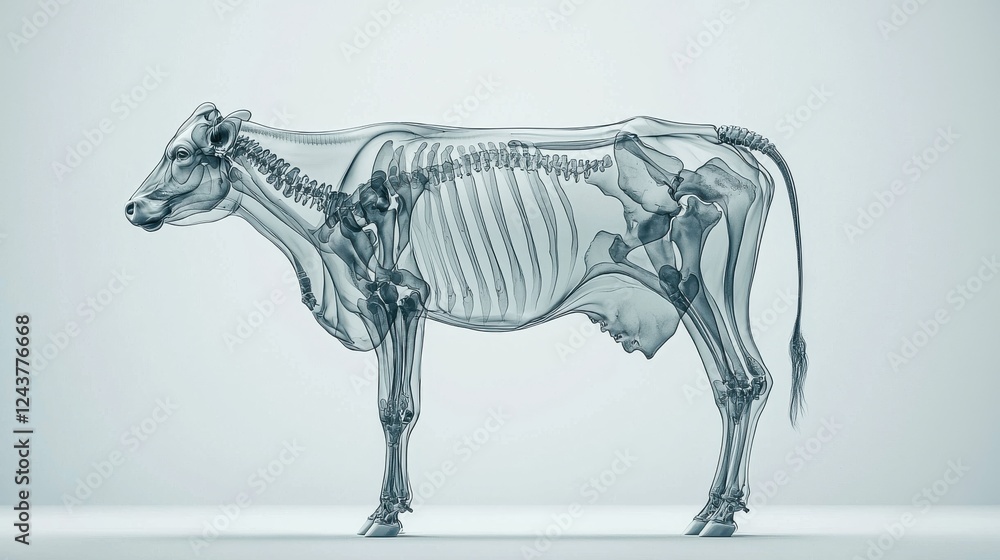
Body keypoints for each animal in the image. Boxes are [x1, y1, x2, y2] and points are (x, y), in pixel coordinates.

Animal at [125, 102, 807, 537]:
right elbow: (403, 406)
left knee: (743, 380)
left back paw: (718, 514)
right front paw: (396, 506)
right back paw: (719, 507)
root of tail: (714, 136)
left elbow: (392, 409)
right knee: (740, 382)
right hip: (711, 292)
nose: (132, 206)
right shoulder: (410, 306)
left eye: (179, 152)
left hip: (700, 287)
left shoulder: (389, 297)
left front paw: (383, 515)